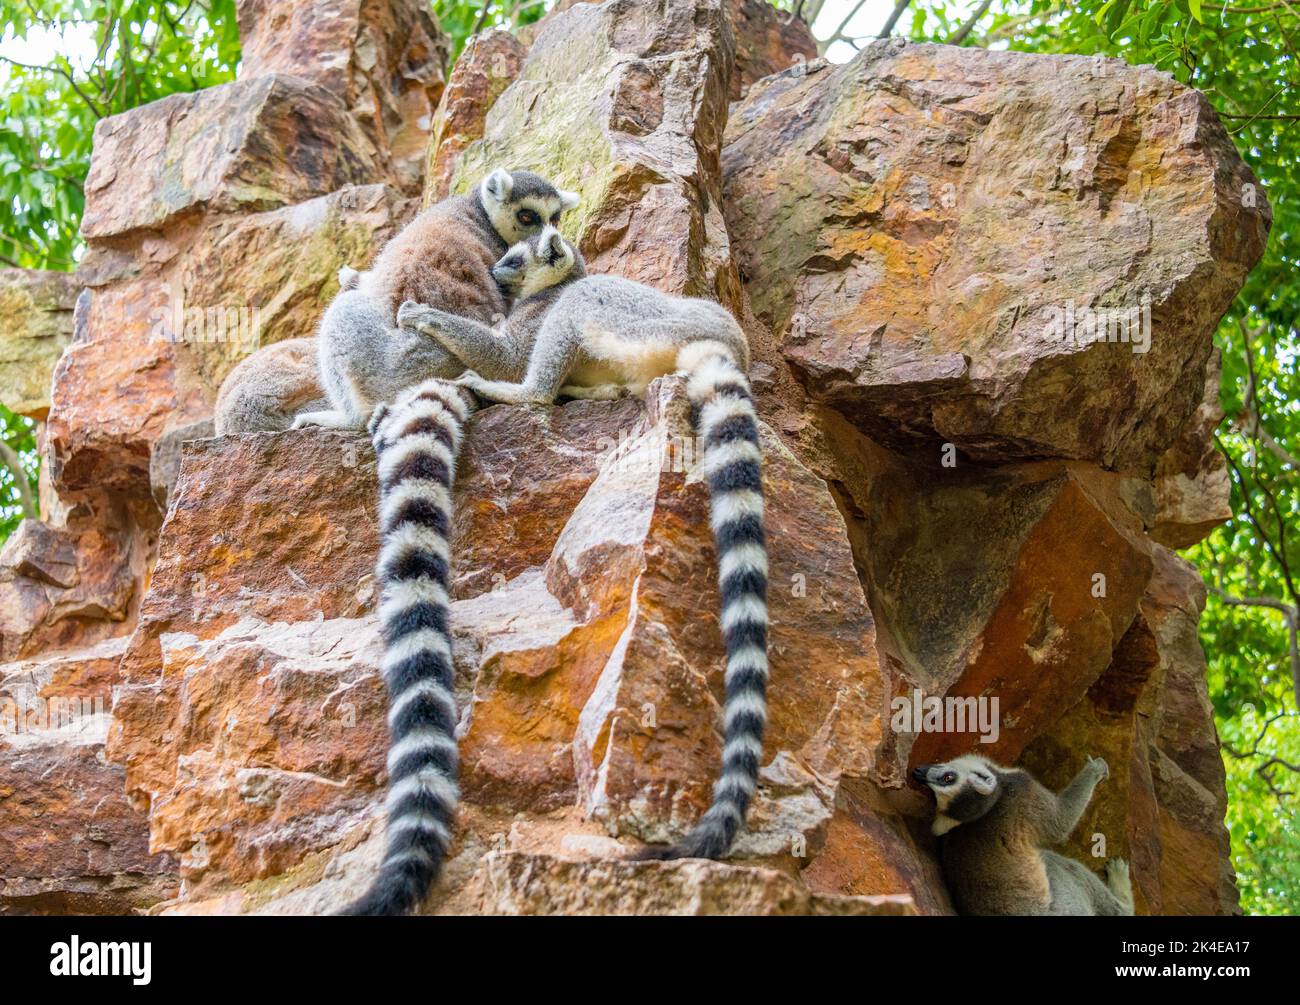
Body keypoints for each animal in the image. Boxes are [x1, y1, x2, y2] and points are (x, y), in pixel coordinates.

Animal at [291, 169, 579, 431]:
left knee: (344, 310)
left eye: (554, 218)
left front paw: (353, 277)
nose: (548, 239)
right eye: (527, 216)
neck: (478, 210)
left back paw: (346, 419)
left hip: (388, 368)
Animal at [401, 227, 768, 864]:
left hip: (634, 319)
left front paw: (426, 317)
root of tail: (725, 341)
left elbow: (511, 348)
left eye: (514, 257)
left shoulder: (545, 312)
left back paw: (525, 393)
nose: (495, 273)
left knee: (562, 337)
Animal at [912, 754, 1135, 916]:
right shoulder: (1023, 791)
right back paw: (1122, 894)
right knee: (1065, 867)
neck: (989, 806)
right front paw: (1094, 770)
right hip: (1068, 902)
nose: (917, 772)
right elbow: (1060, 823)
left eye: (948, 778)